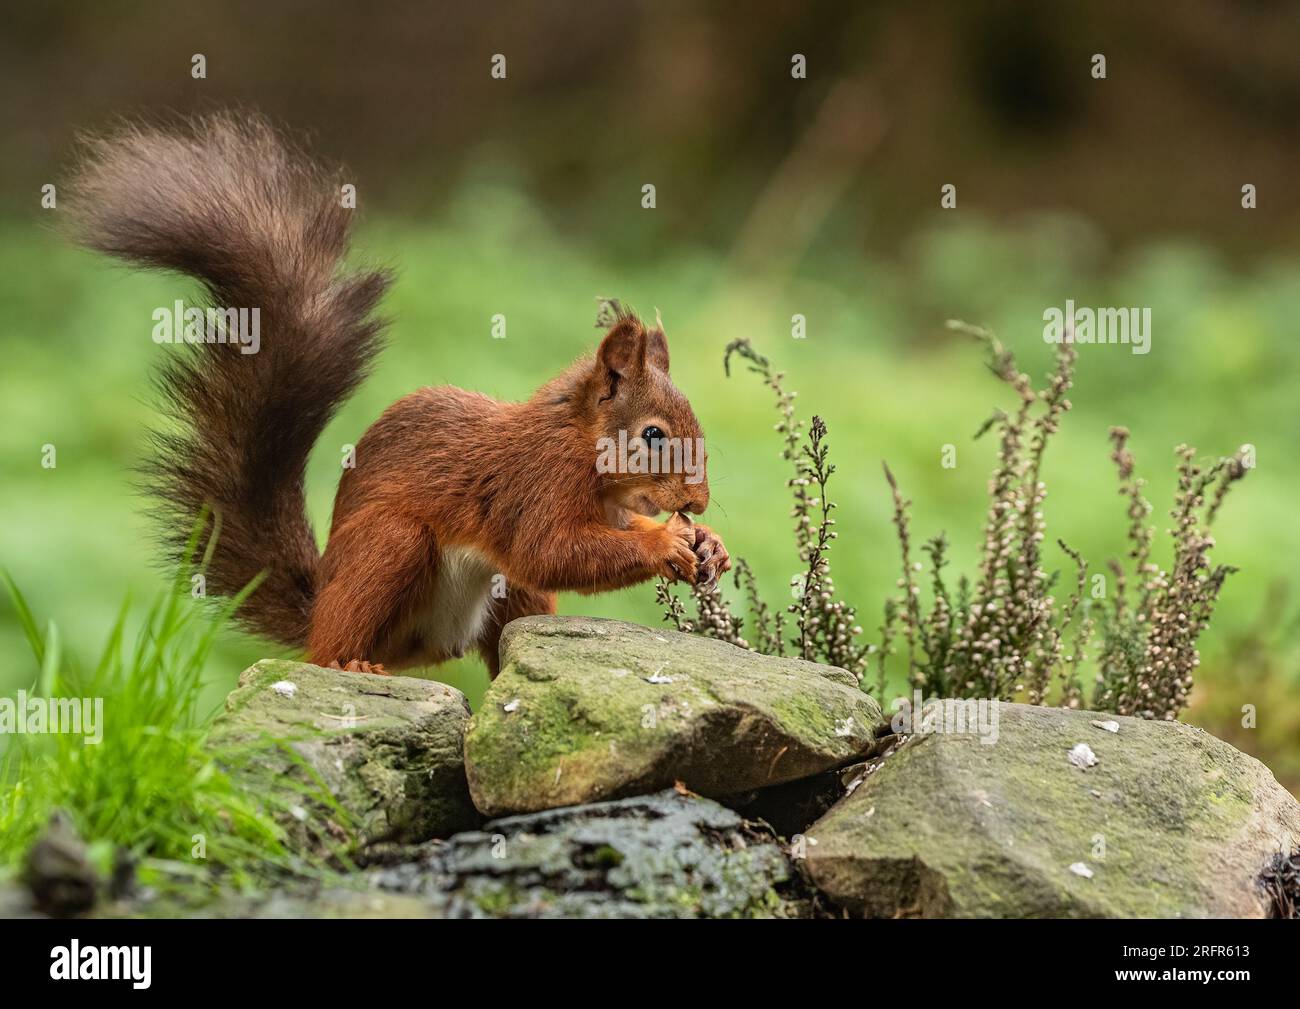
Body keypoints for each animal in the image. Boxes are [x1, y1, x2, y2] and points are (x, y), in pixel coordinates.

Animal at [66, 112, 730, 678]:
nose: (697, 502)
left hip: (505, 595)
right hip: (389, 545)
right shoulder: (533, 483)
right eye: (652, 435)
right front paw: (666, 540)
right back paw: (350, 664)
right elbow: (550, 550)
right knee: (332, 646)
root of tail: (322, 607)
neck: (582, 446)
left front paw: (711, 546)